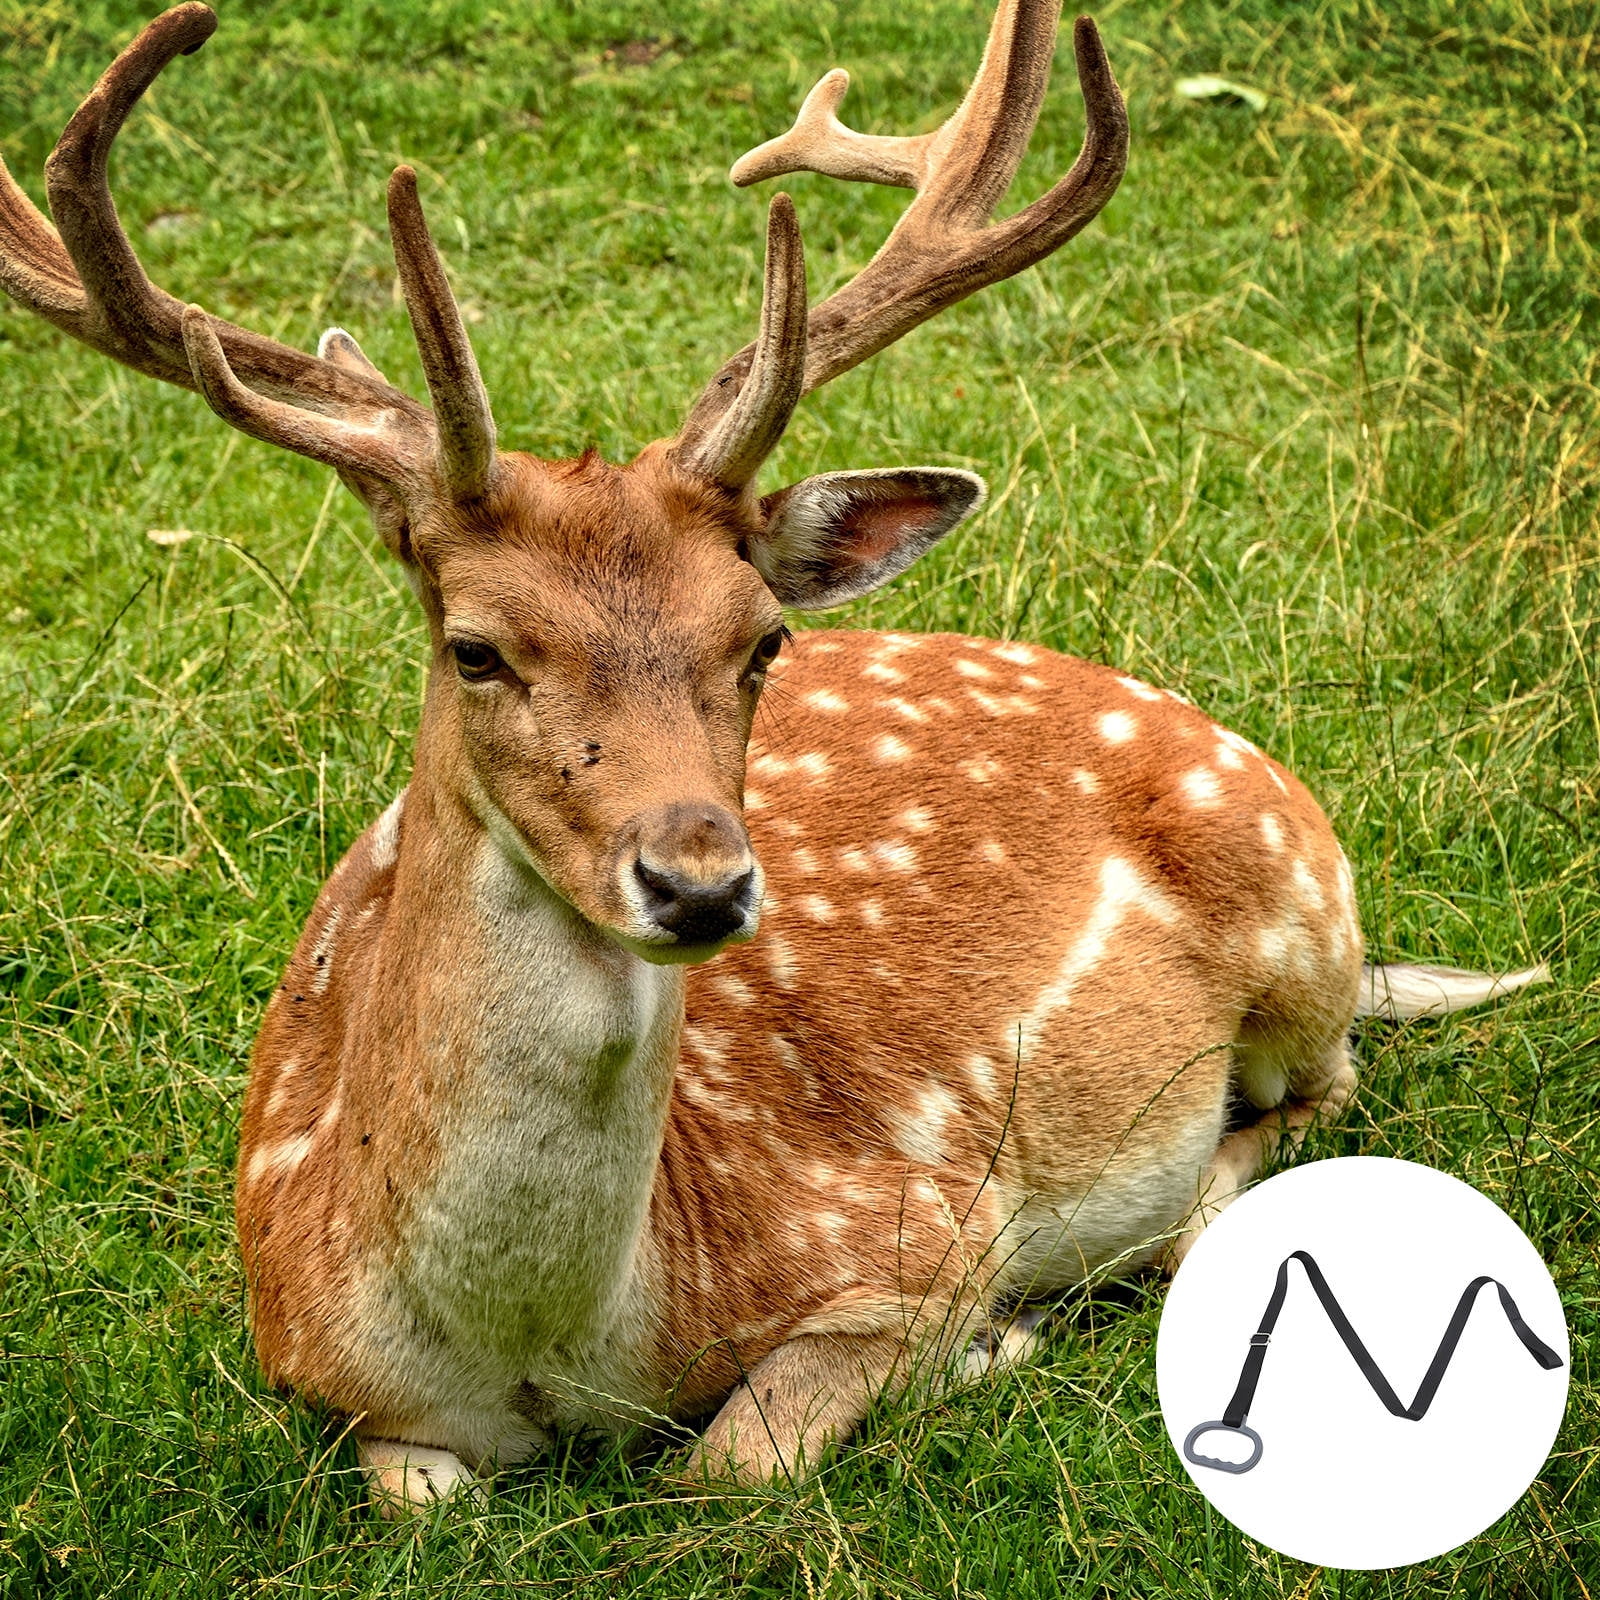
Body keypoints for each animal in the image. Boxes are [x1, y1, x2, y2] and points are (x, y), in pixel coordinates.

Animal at [2, 1, 1548, 1514]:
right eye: (475, 647)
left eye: (761, 640)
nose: (698, 881)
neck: (557, 1343)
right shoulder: (315, 1358)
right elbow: (420, 1495)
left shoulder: (914, 1226)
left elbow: (733, 1470)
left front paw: (991, 1349)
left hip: (1294, 909)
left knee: (1316, 1094)